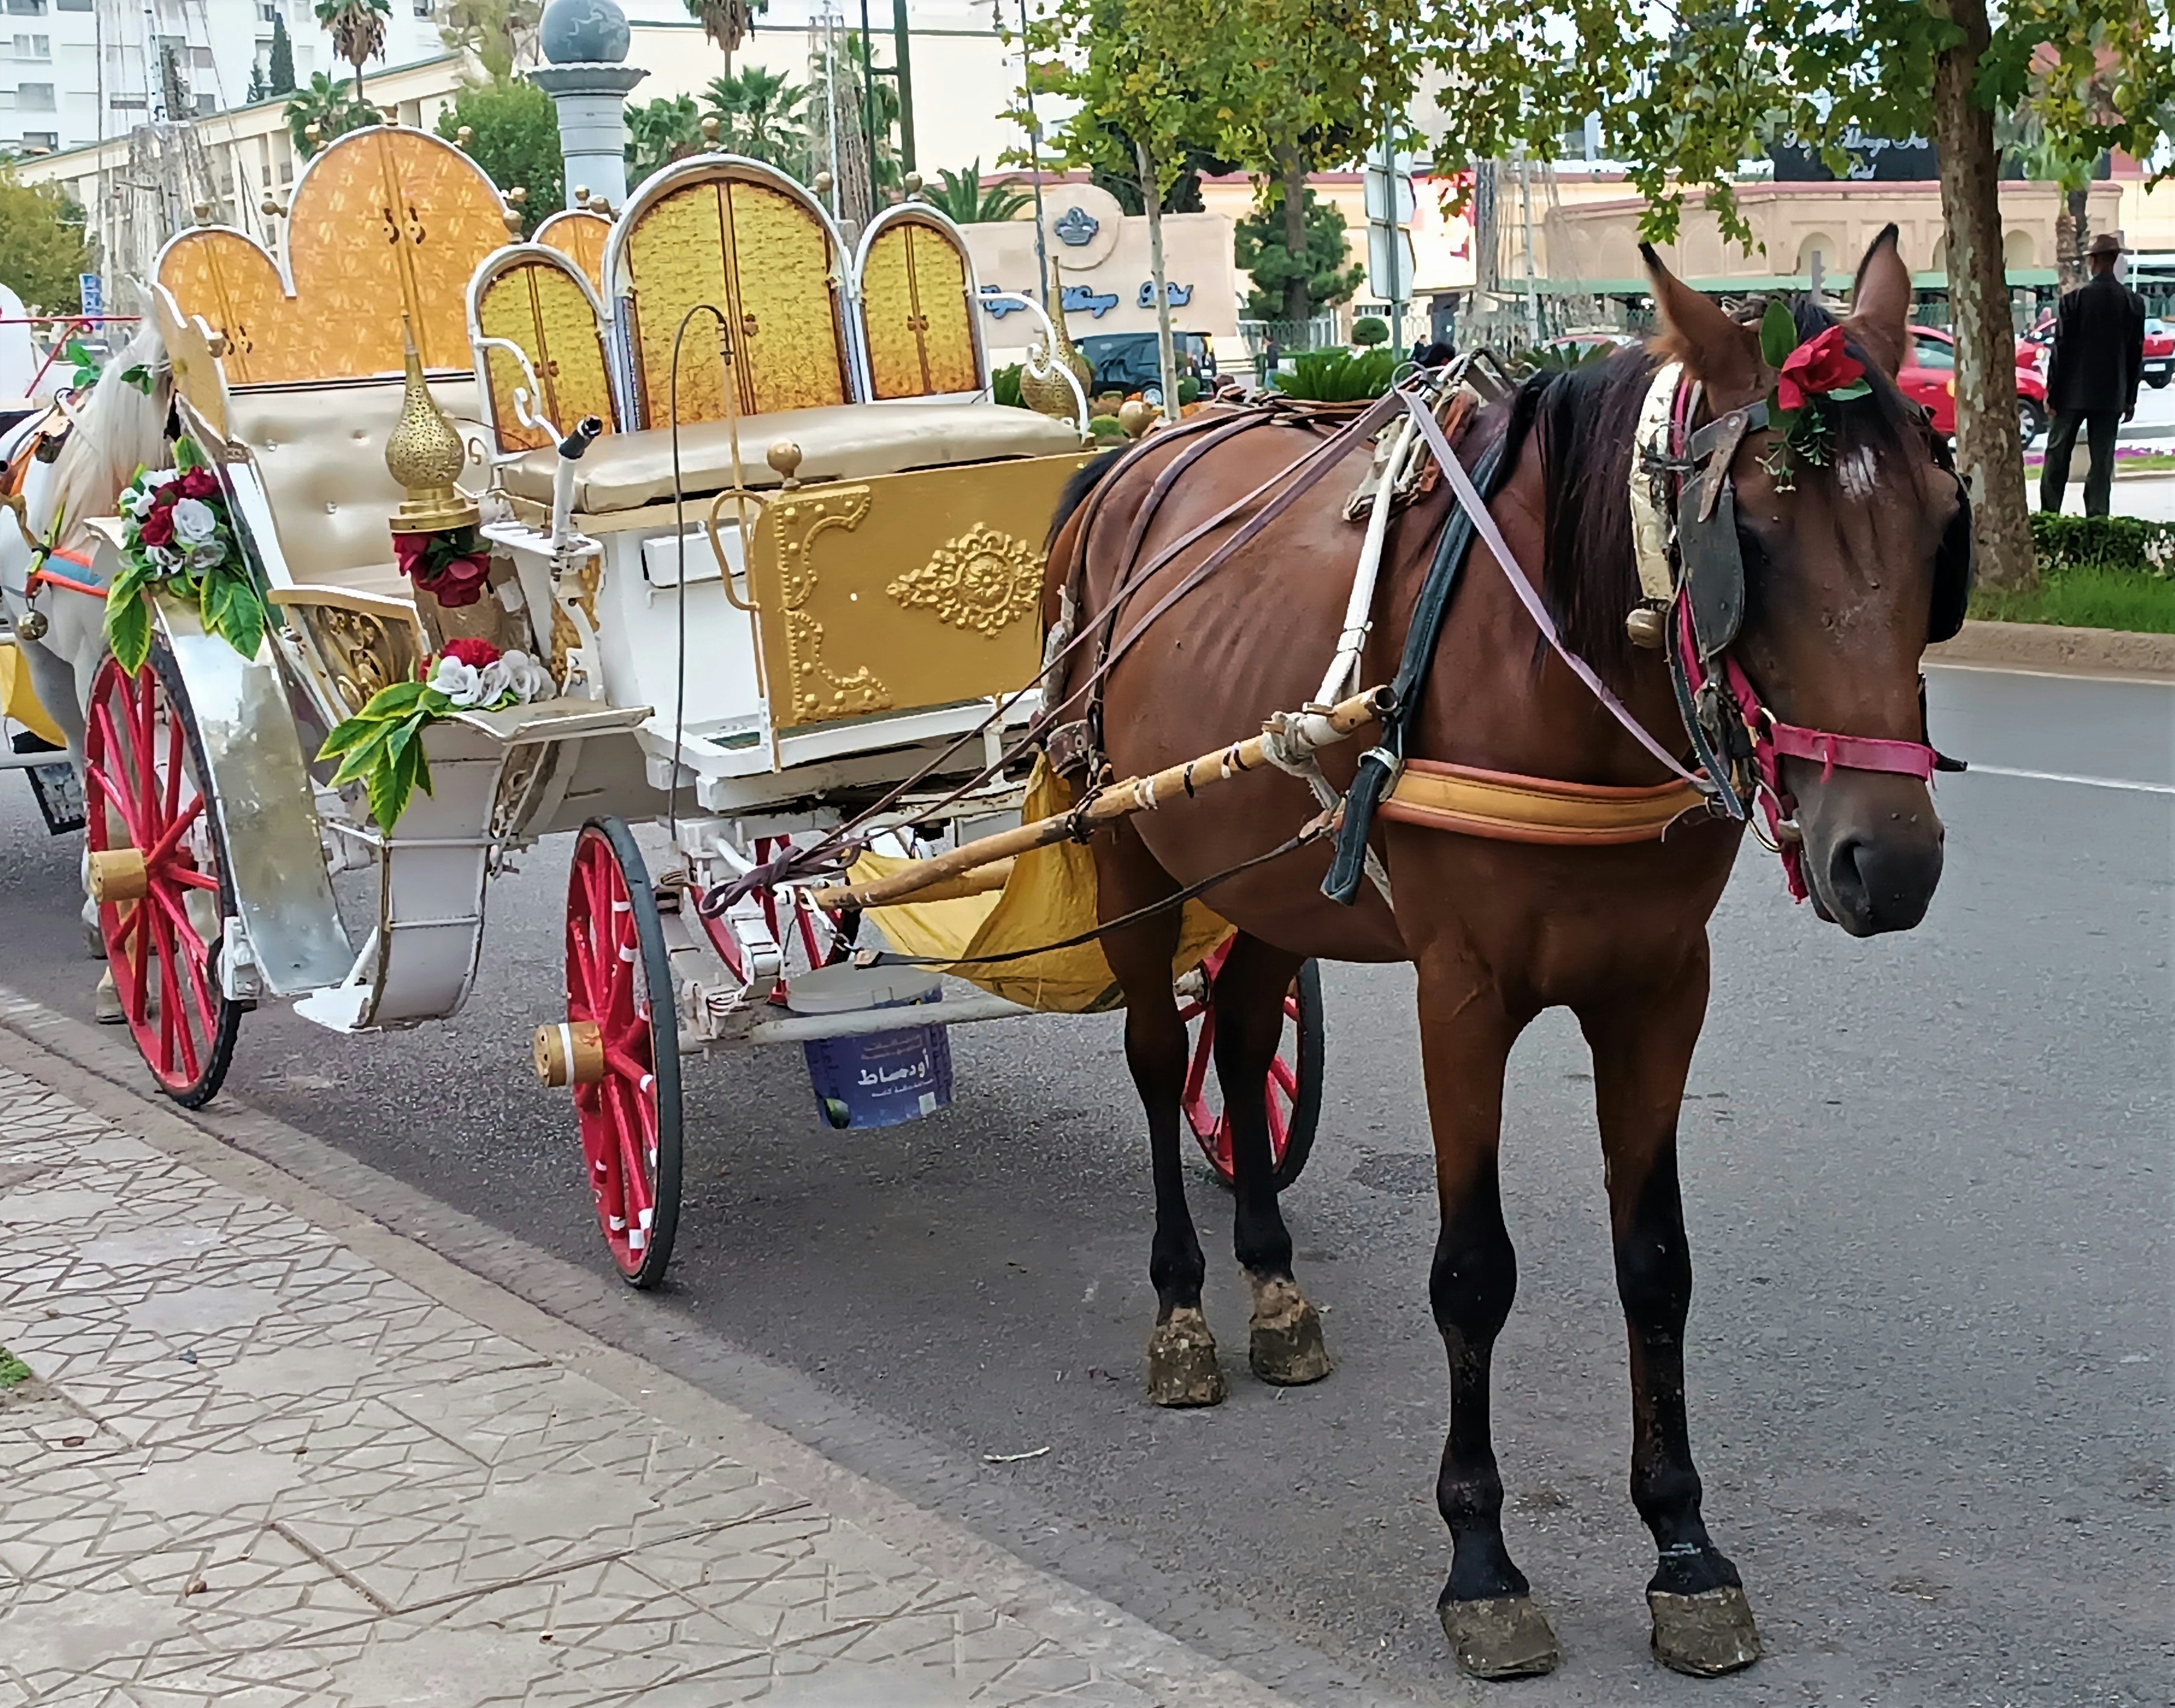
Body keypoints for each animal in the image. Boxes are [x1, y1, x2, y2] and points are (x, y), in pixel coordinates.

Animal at [1042, 231, 1961, 1680]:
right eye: (1748, 537)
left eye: (1937, 525)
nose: (1891, 857)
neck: (1556, 668)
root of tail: (1138, 455)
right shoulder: (1461, 997)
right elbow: (1472, 1273)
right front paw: (1479, 1560)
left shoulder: (1658, 990)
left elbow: (1656, 1263)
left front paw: (1684, 1546)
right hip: (1132, 850)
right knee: (1150, 1058)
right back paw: (1183, 1307)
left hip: (1269, 878)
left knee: (1238, 1035)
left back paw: (1273, 1286)